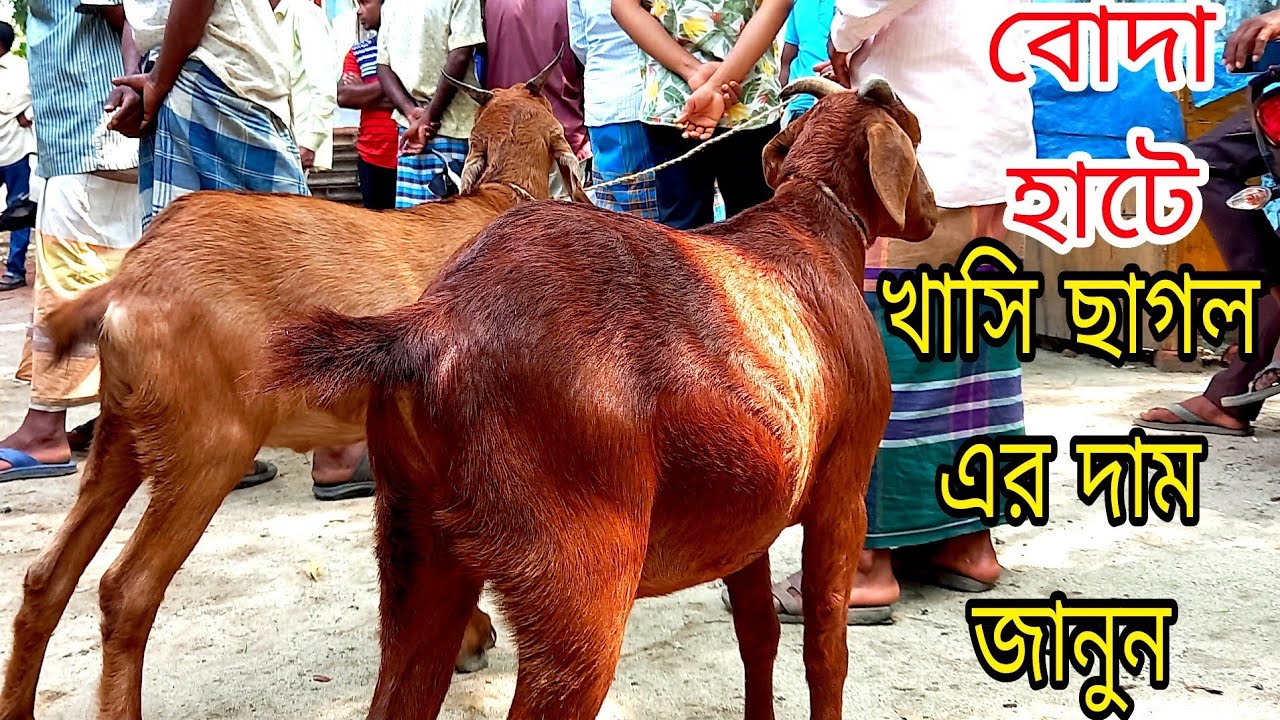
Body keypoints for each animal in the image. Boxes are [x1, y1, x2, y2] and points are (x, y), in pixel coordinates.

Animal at [0, 59, 589, 720]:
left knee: (46, 577)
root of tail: (130, 281)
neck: (495, 201)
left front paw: (465, 636)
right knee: (126, 592)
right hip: (207, 448)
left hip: (122, 433)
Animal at [264, 76, 938, 720]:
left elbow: (758, 634)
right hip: (578, 584)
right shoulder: (842, 495)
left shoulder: (753, 515)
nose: (931, 216)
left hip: (418, 551)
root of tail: (434, 324)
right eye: (913, 130)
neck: (810, 230)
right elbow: (827, 649)